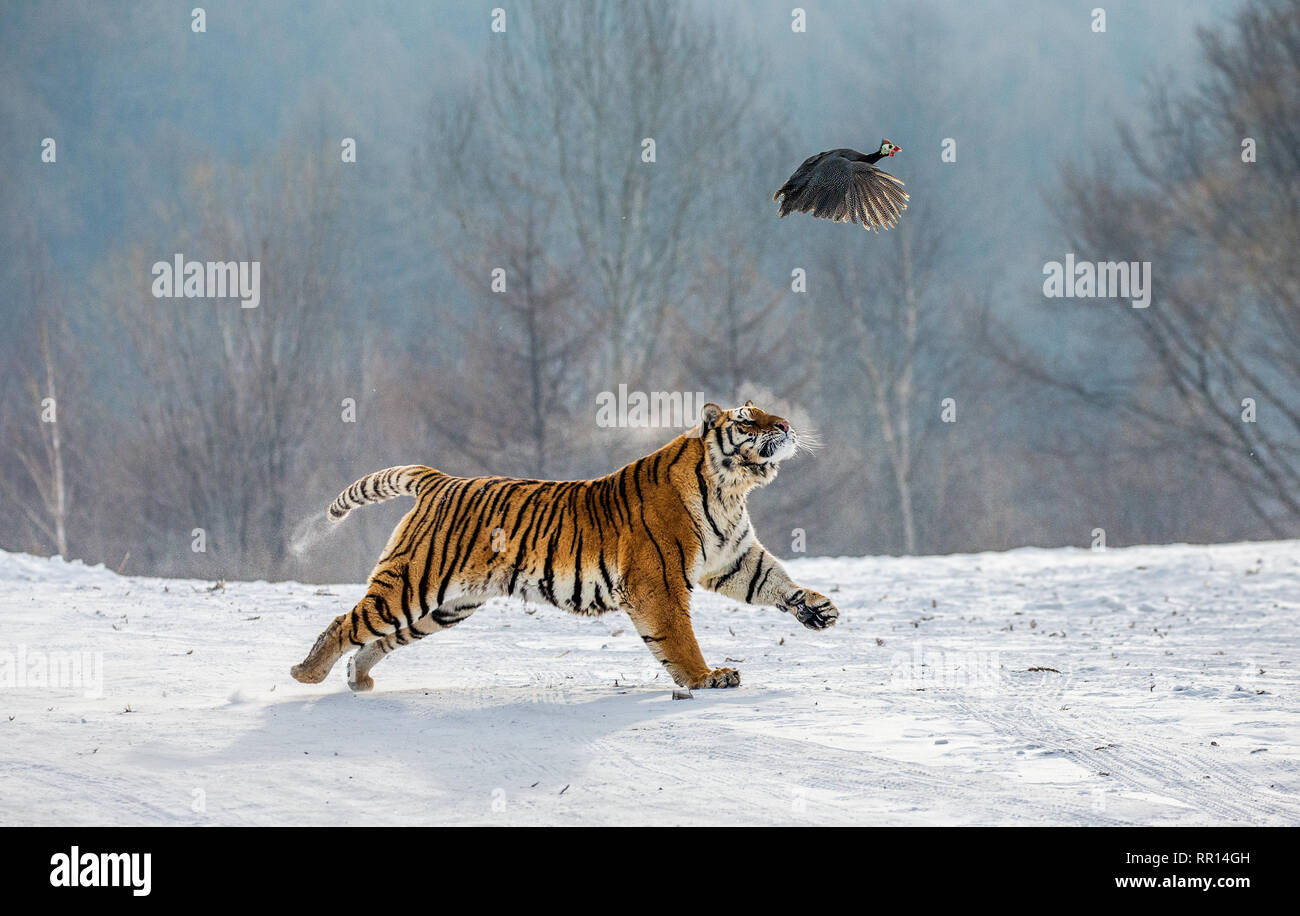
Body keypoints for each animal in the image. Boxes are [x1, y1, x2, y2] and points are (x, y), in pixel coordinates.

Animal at [290, 400, 839, 692]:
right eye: (747, 420)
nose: (785, 425)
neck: (732, 489)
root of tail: (440, 479)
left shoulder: (733, 558)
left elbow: (775, 580)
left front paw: (818, 609)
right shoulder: (658, 582)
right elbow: (679, 640)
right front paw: (706, 678)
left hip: (447, 606)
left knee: (380, 640)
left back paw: (358, 680)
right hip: (412, 584)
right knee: (346, 623)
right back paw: (306, 673)